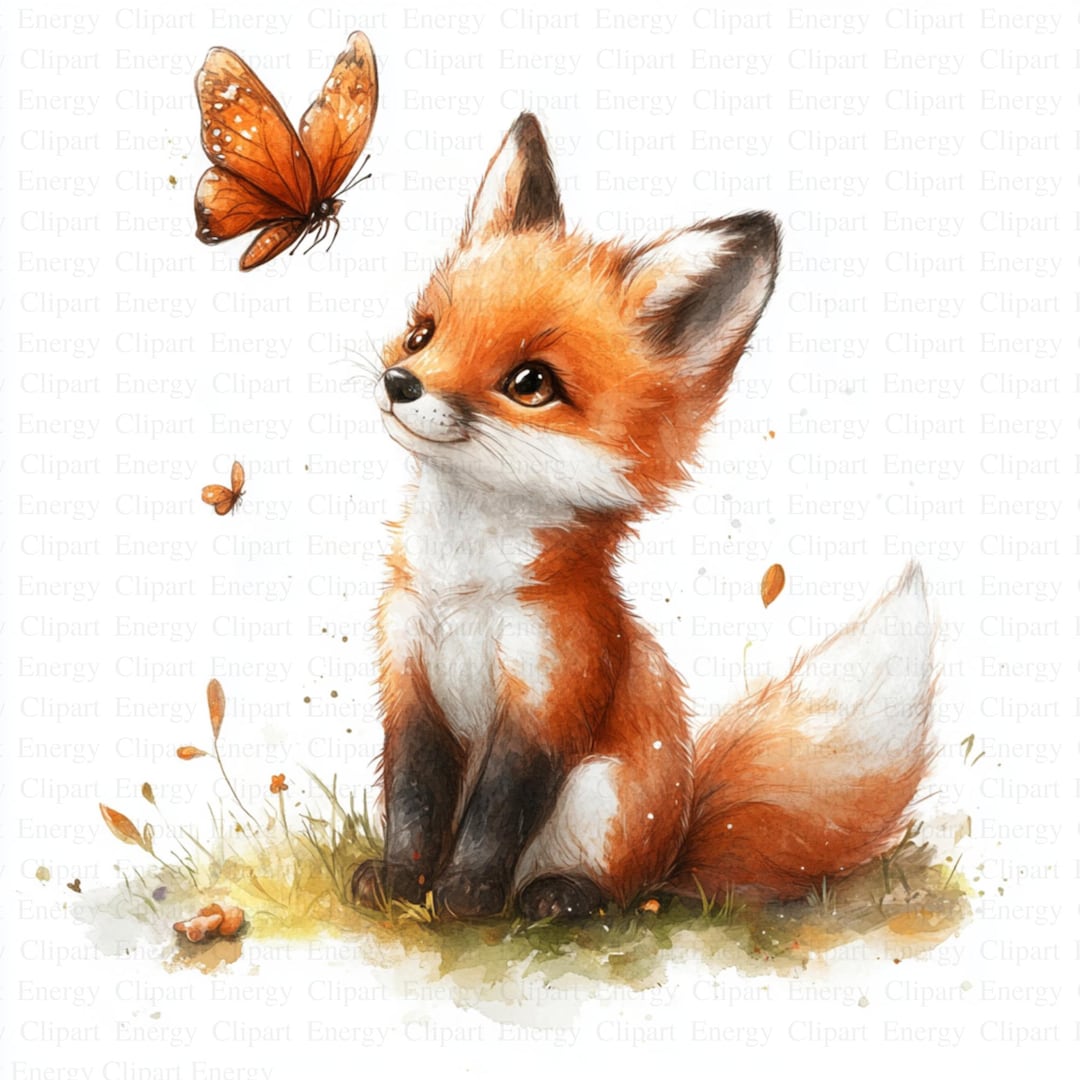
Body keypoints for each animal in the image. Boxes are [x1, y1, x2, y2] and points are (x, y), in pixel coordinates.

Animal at [350, 113, 935, 921]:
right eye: (423, 333)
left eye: (530, 382)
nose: (399, 382)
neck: (462, 593)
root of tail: (681, 842)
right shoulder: (410, 684)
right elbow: (412, 803)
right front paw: (400, 883)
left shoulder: (552, 700)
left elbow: (497, 813)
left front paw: (467, 894)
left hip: (604, 797)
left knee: (616, 894)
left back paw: (556, 897)